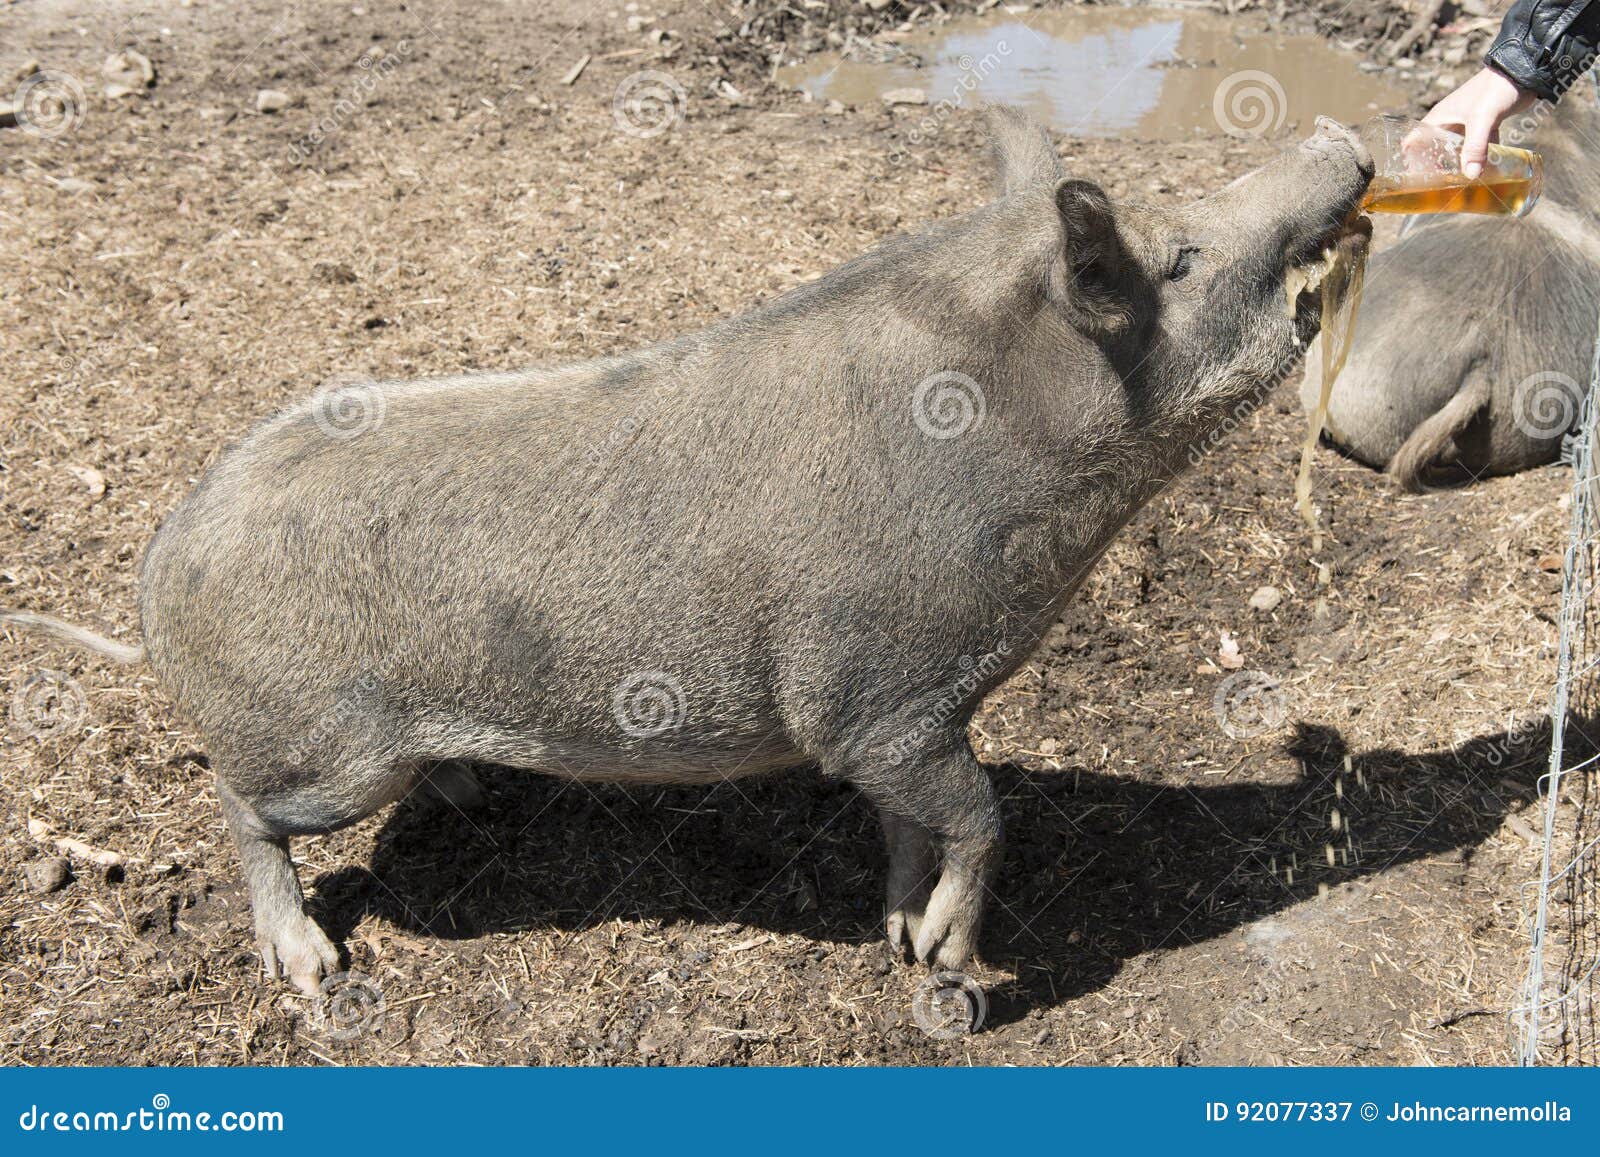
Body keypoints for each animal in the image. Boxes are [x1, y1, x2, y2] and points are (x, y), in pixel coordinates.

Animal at [3, 110, 1370, 995]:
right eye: (1177, 258)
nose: (1346, 140)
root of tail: (156, 571)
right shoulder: (867, 701)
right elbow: (980, 812)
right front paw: (953, 970)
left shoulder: (908, 716)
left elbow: (916, 825)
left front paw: (895, 935)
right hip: (324, 752)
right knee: (241, 808)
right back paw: (311, 971)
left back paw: (466, 792)